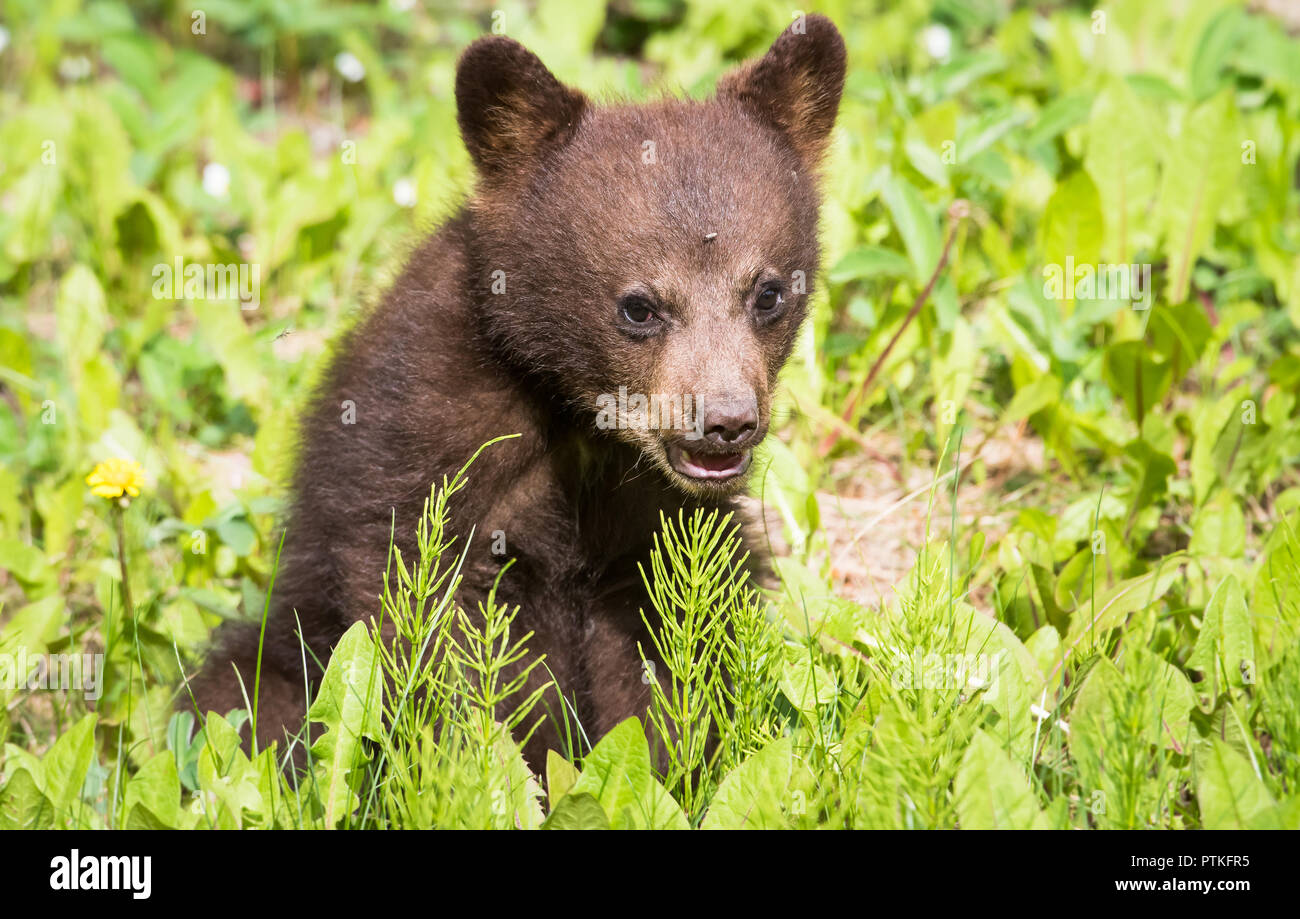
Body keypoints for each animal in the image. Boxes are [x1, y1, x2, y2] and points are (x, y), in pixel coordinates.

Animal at [186, 15, 846, 775]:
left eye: (767, 292)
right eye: (639, 306)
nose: (725, 421)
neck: (583, 421)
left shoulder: (662, 532)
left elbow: (670, 648)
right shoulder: (428, 438)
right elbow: (434, 630)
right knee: (242, 697)